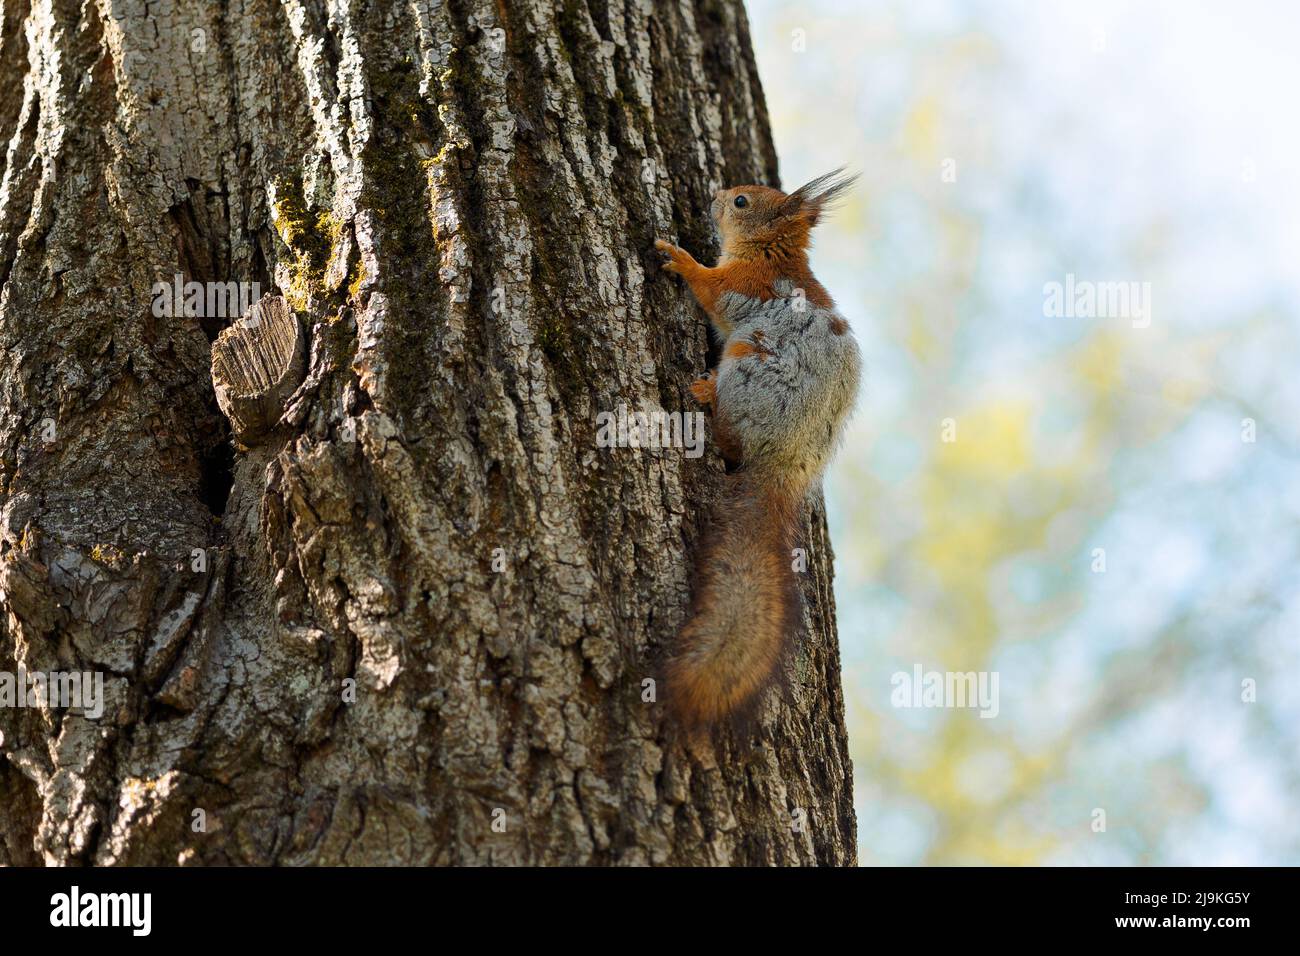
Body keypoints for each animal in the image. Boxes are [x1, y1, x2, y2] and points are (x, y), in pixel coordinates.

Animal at [650, 166, 863, 733]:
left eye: (743, 201)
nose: (716, 196)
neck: (771, 254)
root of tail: (784, 463)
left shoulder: (743, 287)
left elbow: (710, 288)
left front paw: (679, 258)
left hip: (749, 363)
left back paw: (706, 398)